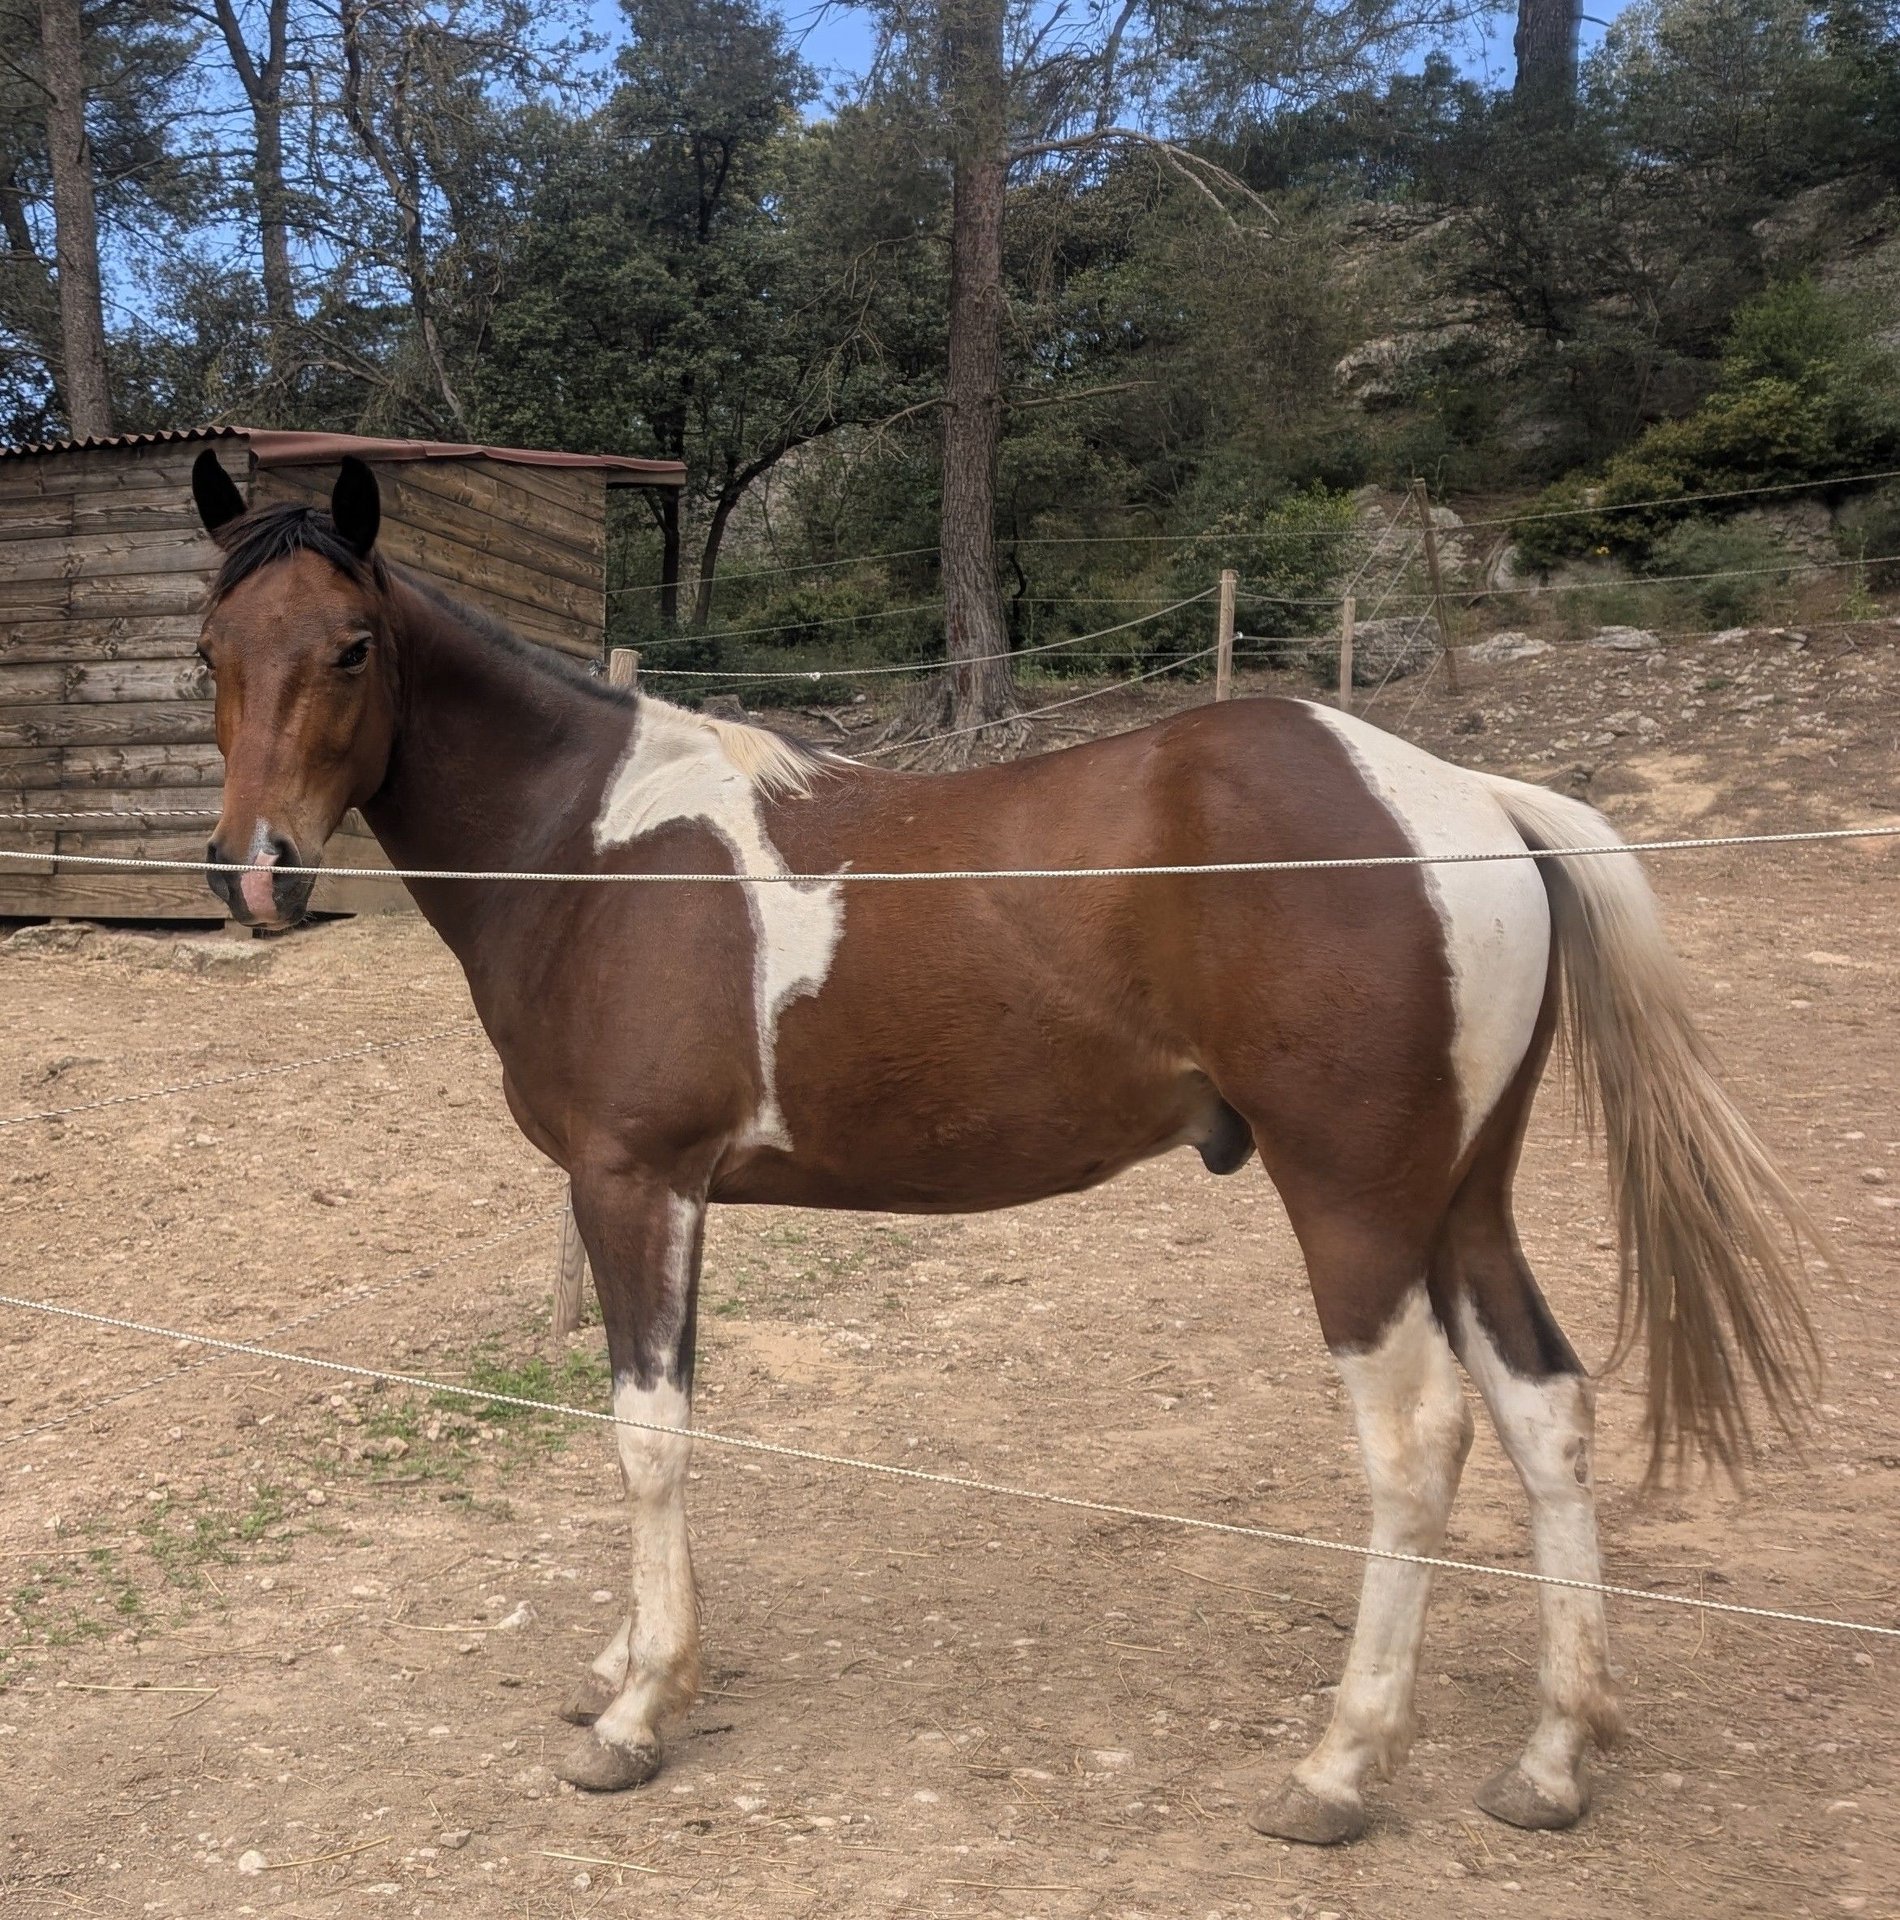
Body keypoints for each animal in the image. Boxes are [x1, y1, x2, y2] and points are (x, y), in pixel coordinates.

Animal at [187, 450, 1819, 1844]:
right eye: (210, 649)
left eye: (350, 646)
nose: (253, 872)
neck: (591, 851)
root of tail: (1464, 799)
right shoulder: (670, 1198)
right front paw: (628, 1655)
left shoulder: (635, 1184)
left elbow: (648, 1434)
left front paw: (640, 1710)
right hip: (1460, 1200)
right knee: (1547, 1412)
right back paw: (1551, 1760)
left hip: (1356, 1205)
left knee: (1418, 1444)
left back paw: (1340, 1768)